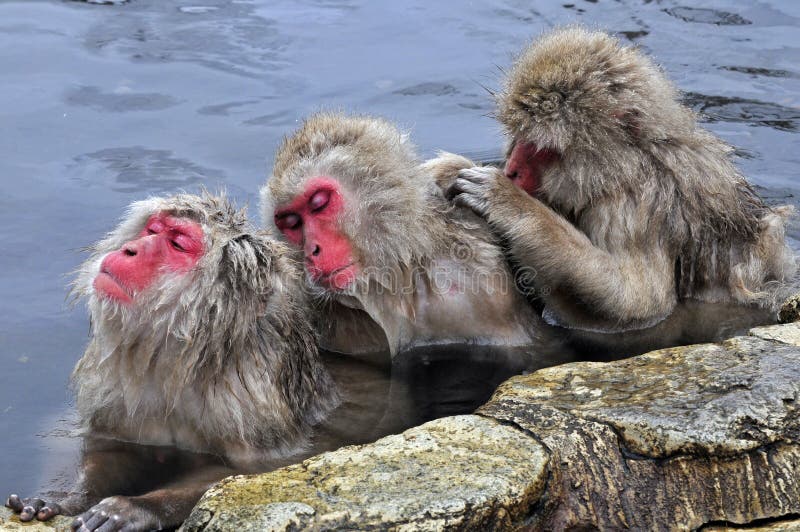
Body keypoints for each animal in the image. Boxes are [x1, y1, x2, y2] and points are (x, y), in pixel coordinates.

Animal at [6, 192, 341, 531]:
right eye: (152, 230)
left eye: (178, 244)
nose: (129, 249)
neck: (183, 360)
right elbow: (112, 445)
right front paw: (66, 499)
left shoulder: (255, 401)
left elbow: (262, 469)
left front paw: (136, 508)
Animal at [446, 26, 797, 332]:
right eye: (519, 135)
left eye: (541, 147)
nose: (511, 170)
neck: (620, 168)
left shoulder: (636, 206)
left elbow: (637, 303)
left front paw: (508, 202)